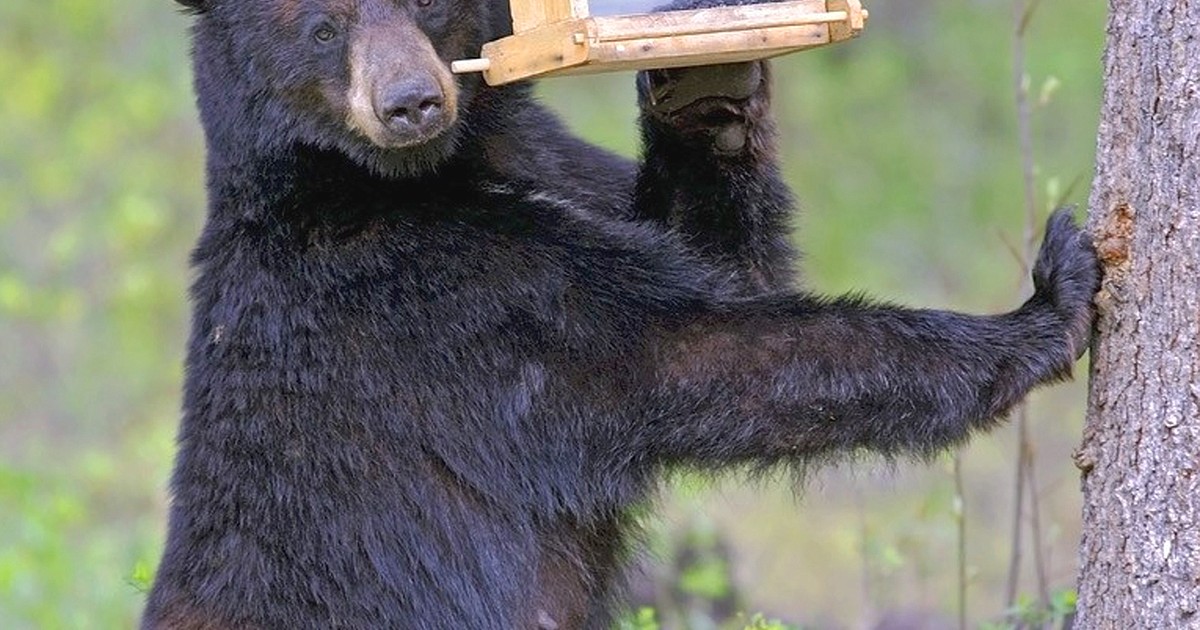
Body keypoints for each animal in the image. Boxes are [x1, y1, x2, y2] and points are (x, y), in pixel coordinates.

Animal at [143, 0, 1099, 628]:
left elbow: (719, 263)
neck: (410, 178)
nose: (411, 101)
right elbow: (694, 352)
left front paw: (705, 81)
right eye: (321, 27)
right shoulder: (440, 301)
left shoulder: (556, 165)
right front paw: (1046, 306)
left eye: (423, 3)